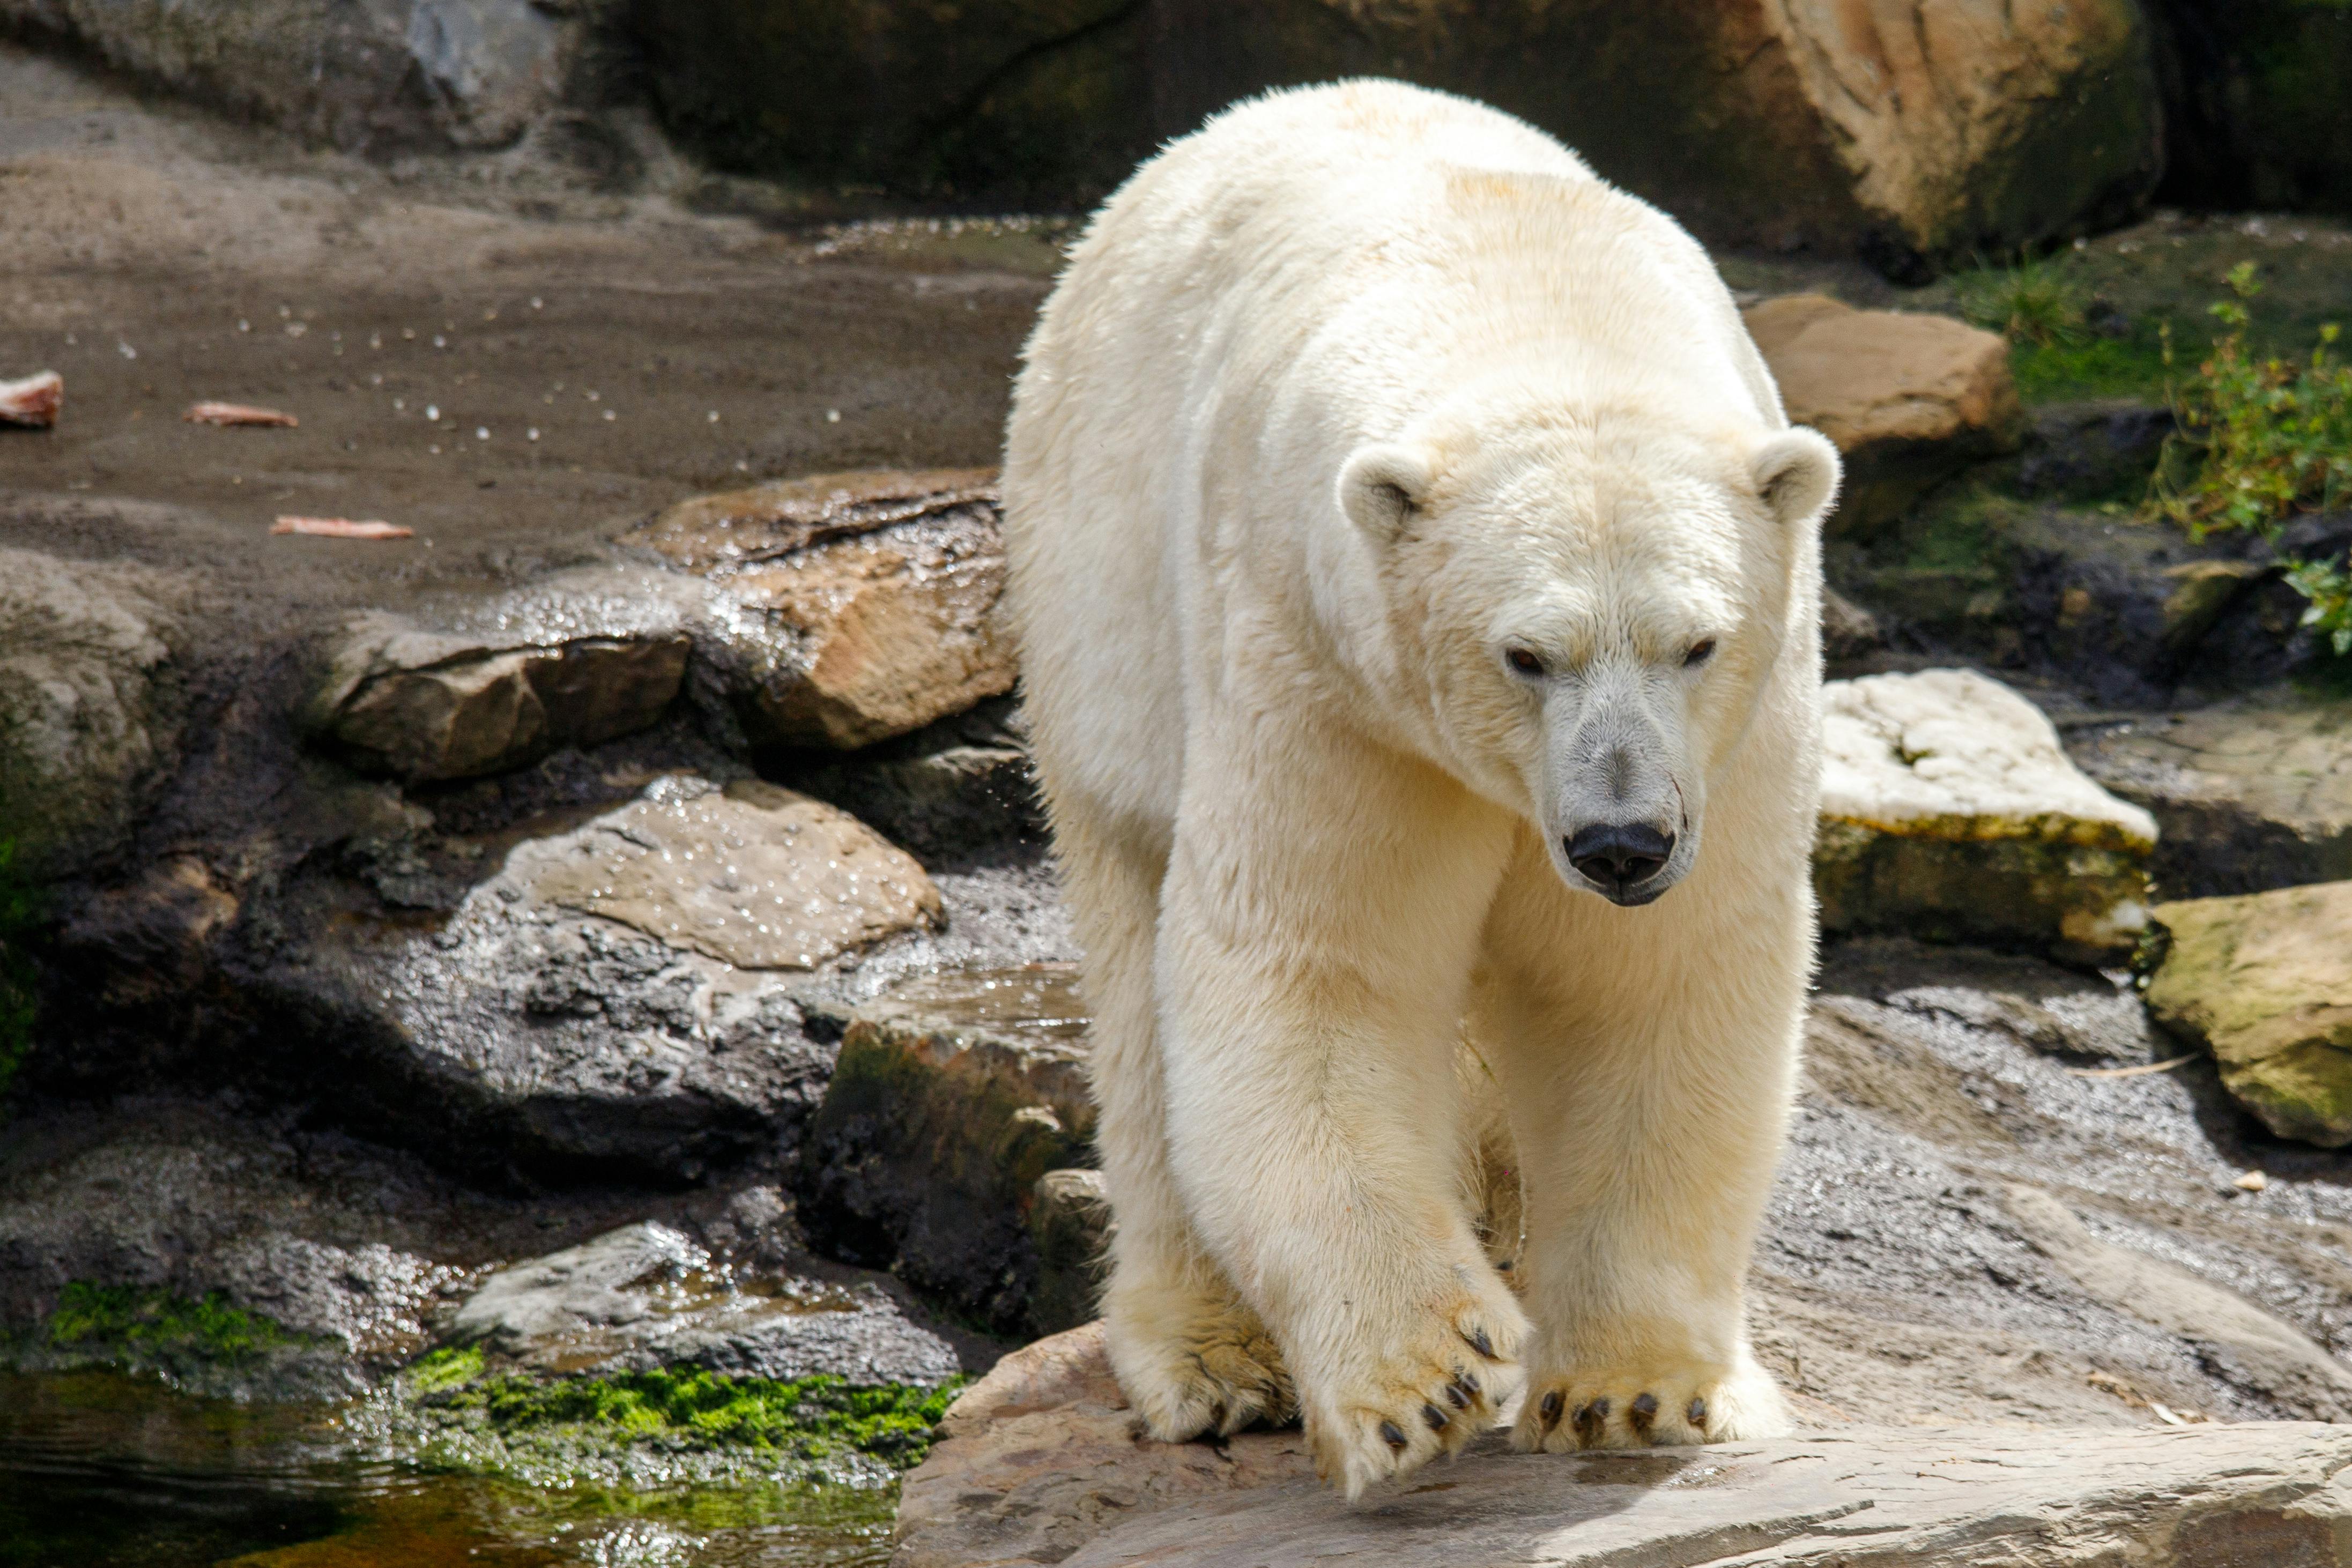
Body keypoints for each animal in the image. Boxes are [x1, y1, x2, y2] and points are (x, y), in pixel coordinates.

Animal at [1001, 79, 1840, 1499]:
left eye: (1697, 640)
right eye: (1525, 653)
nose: (1621, 841)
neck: (1533, 296)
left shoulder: (1734, 744)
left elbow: (1645, 985)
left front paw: (1634, 1388)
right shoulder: (1321, 672)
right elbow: (1312, 970)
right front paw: (1423, 1373)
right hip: (1096, 598)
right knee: (1134, 962)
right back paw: (1213, 1356)